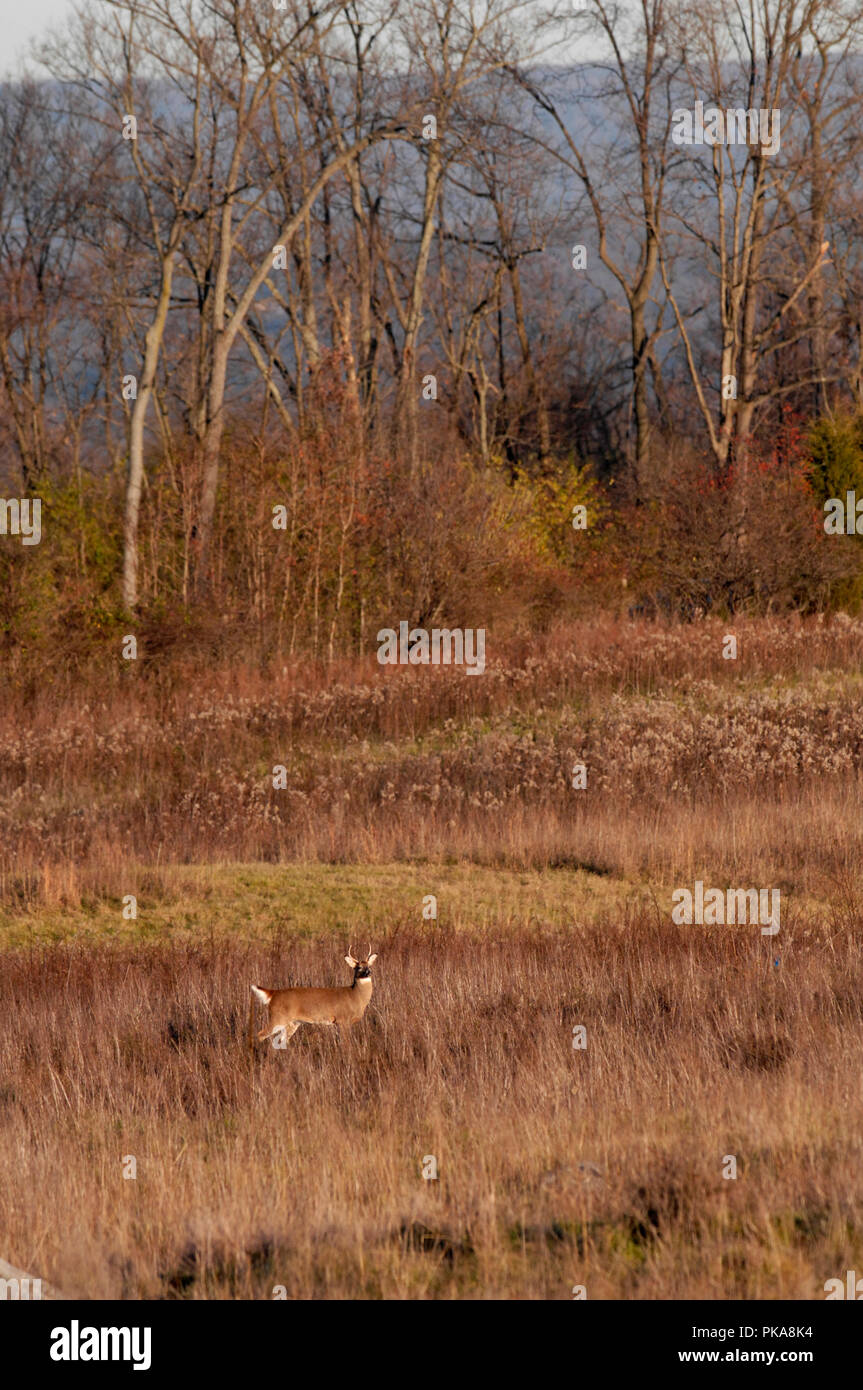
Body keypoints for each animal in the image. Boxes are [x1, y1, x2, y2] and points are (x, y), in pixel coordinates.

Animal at [248, 948, 378, 1052]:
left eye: (369, 966)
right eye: (359, 967)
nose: (368, 972)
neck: (355, 997)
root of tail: (273, 993)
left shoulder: (338, 1022)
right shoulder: (342, 1019)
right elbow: (346, 1043)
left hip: (293, 1022)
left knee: (282, 1040)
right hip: (278, 1017)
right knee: (261, 1034)